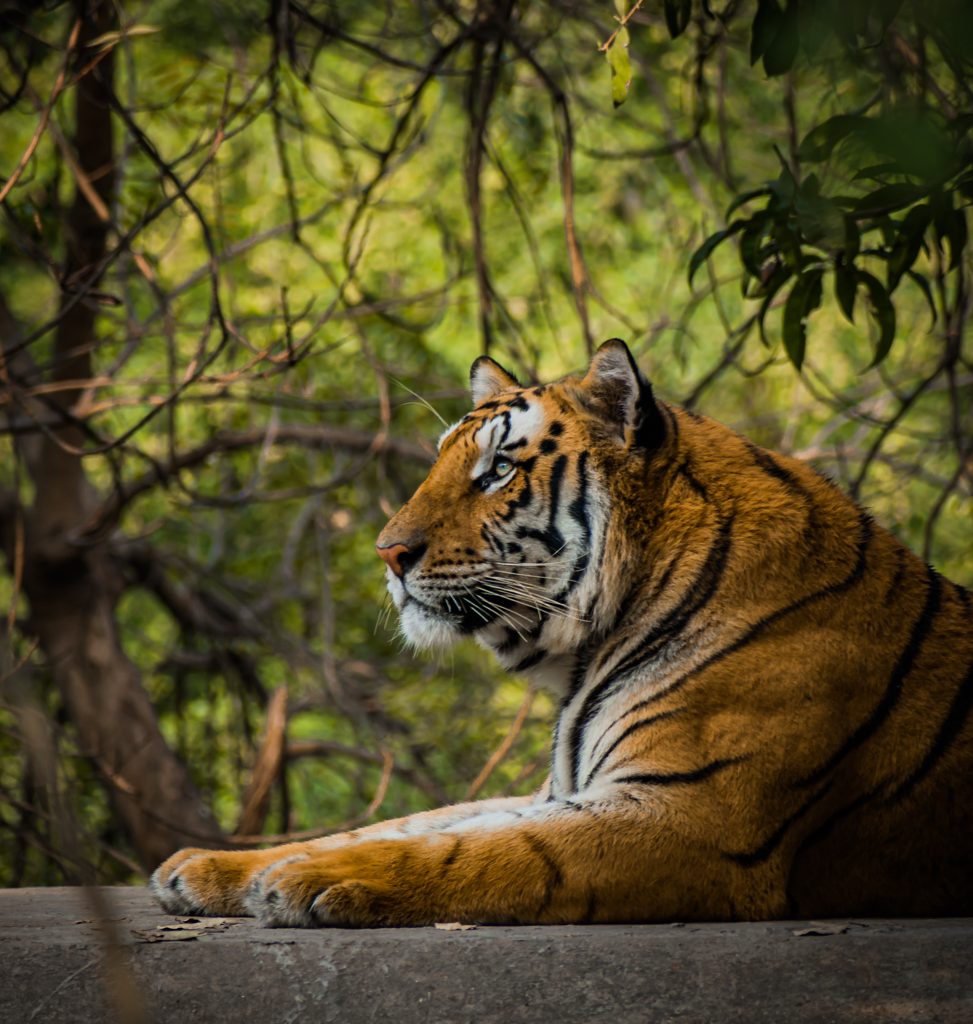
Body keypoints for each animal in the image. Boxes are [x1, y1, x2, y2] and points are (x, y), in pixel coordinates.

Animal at [151, 338, 973, 926]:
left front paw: (306, 880)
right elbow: (407, 824)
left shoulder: (691, 819)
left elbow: (477, 854)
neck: (592, 648)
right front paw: (208, 867)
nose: (386, 552)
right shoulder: (567, 789)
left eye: (496, 473)